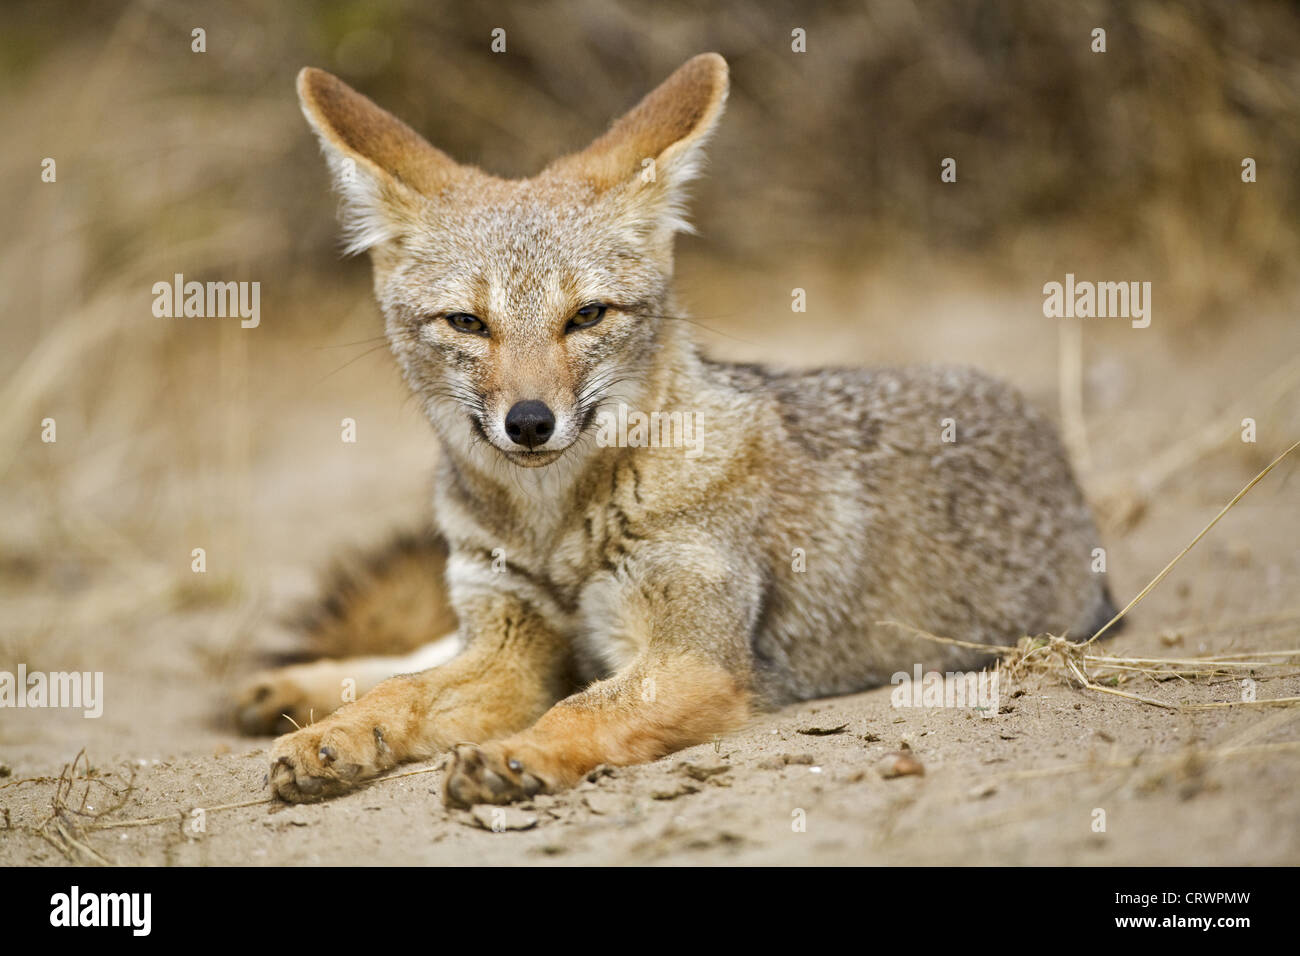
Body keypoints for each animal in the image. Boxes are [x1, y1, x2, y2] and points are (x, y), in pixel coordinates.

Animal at [238, 53, 1118, 807]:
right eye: (468, 323)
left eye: (586, 316)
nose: (530, 423)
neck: (554, 532)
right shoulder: (508, 644)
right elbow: (406, 688)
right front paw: (339, 735)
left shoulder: (691, 657)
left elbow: (581, 707)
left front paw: (516, 757)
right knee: (411, 655)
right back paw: (291, 693)